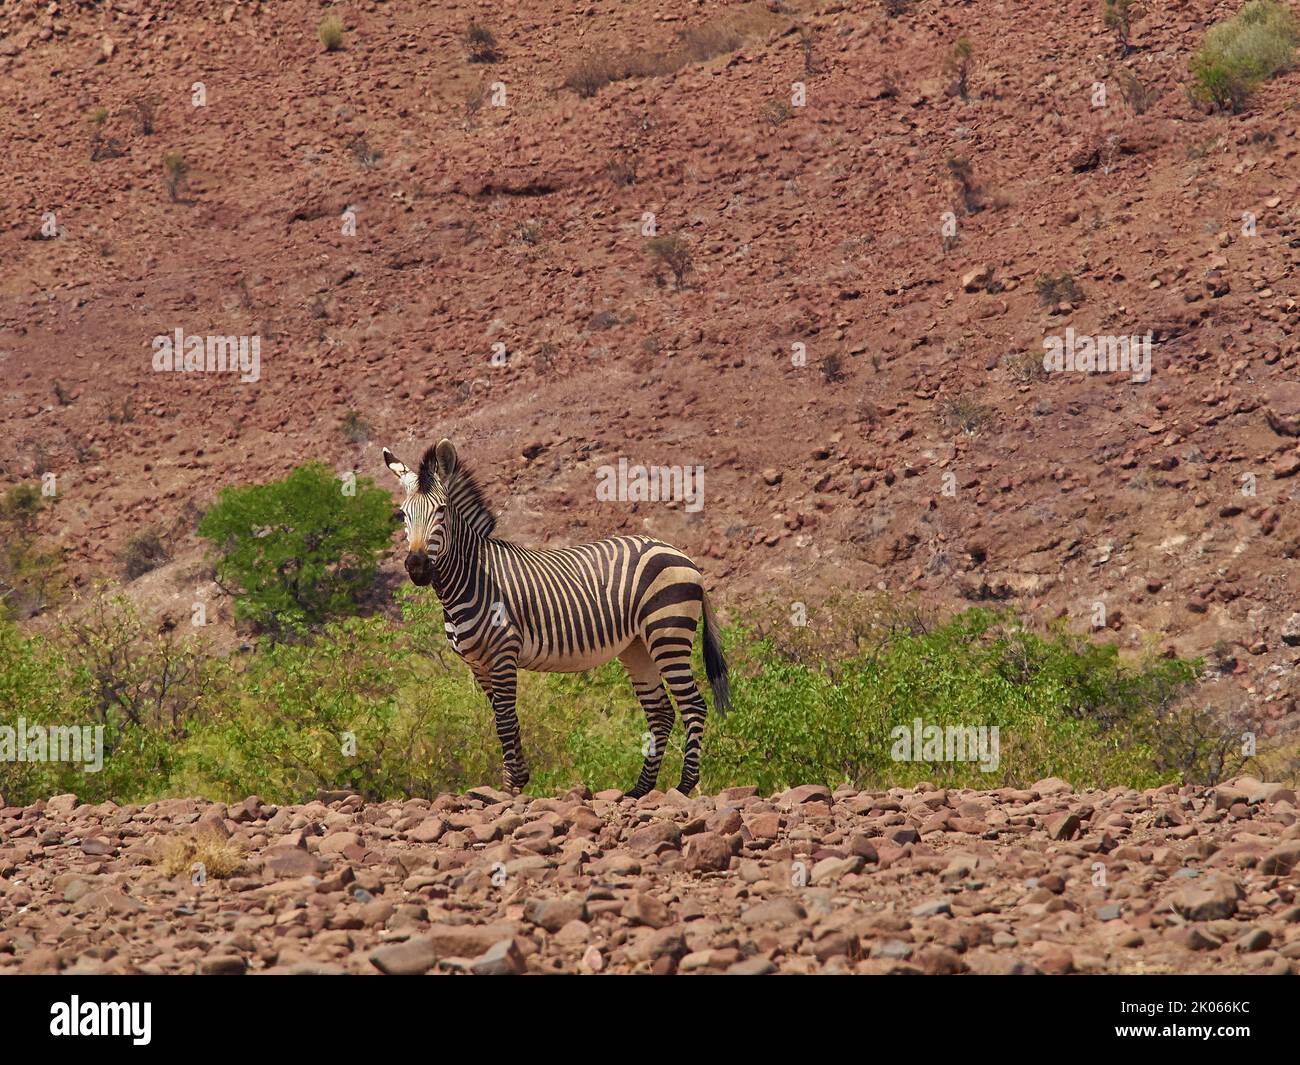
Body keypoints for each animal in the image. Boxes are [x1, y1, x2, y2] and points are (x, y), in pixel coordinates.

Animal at [382, 438, 730, 797]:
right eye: (404, 514)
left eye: (440, 511)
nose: (417, 567)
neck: (471, 578)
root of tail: (679, 553)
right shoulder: (478, 664)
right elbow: (503, 718)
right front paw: (516, 780)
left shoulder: (503, 653)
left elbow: (505, 719)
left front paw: (511, 788)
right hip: (637, 646)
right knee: (660, 712)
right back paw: (639, 790)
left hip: (667, 634)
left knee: (694, 706)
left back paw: (684, 786)